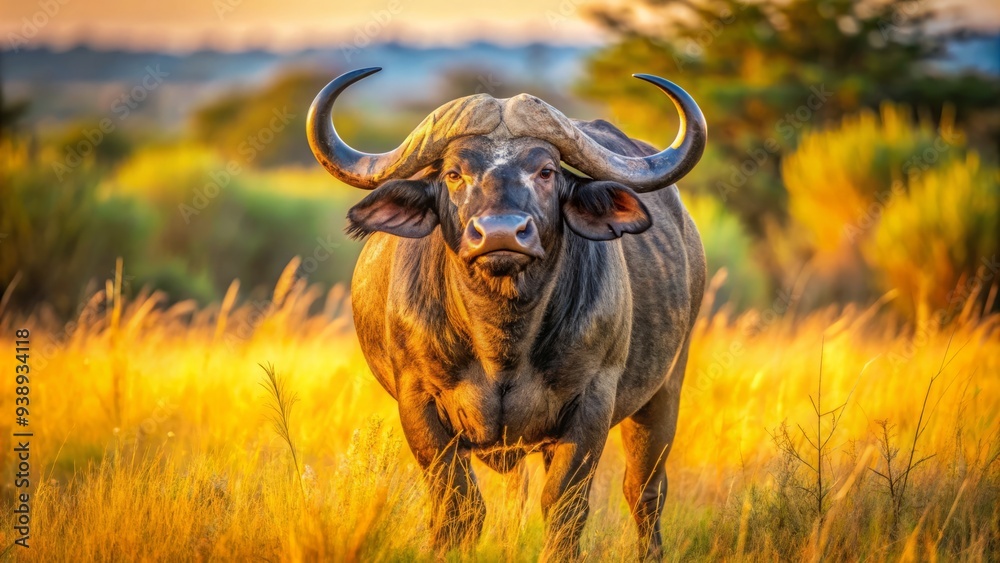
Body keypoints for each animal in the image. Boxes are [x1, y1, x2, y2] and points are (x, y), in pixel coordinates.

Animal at [307, 67, 707, 560]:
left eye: (546, 171)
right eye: (454, 173)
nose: (501, 233)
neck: (501, 338)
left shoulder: (591, 404)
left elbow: (564, 506)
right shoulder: (418, 403)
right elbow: (458, 505)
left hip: (666, 387)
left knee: (645, 491)